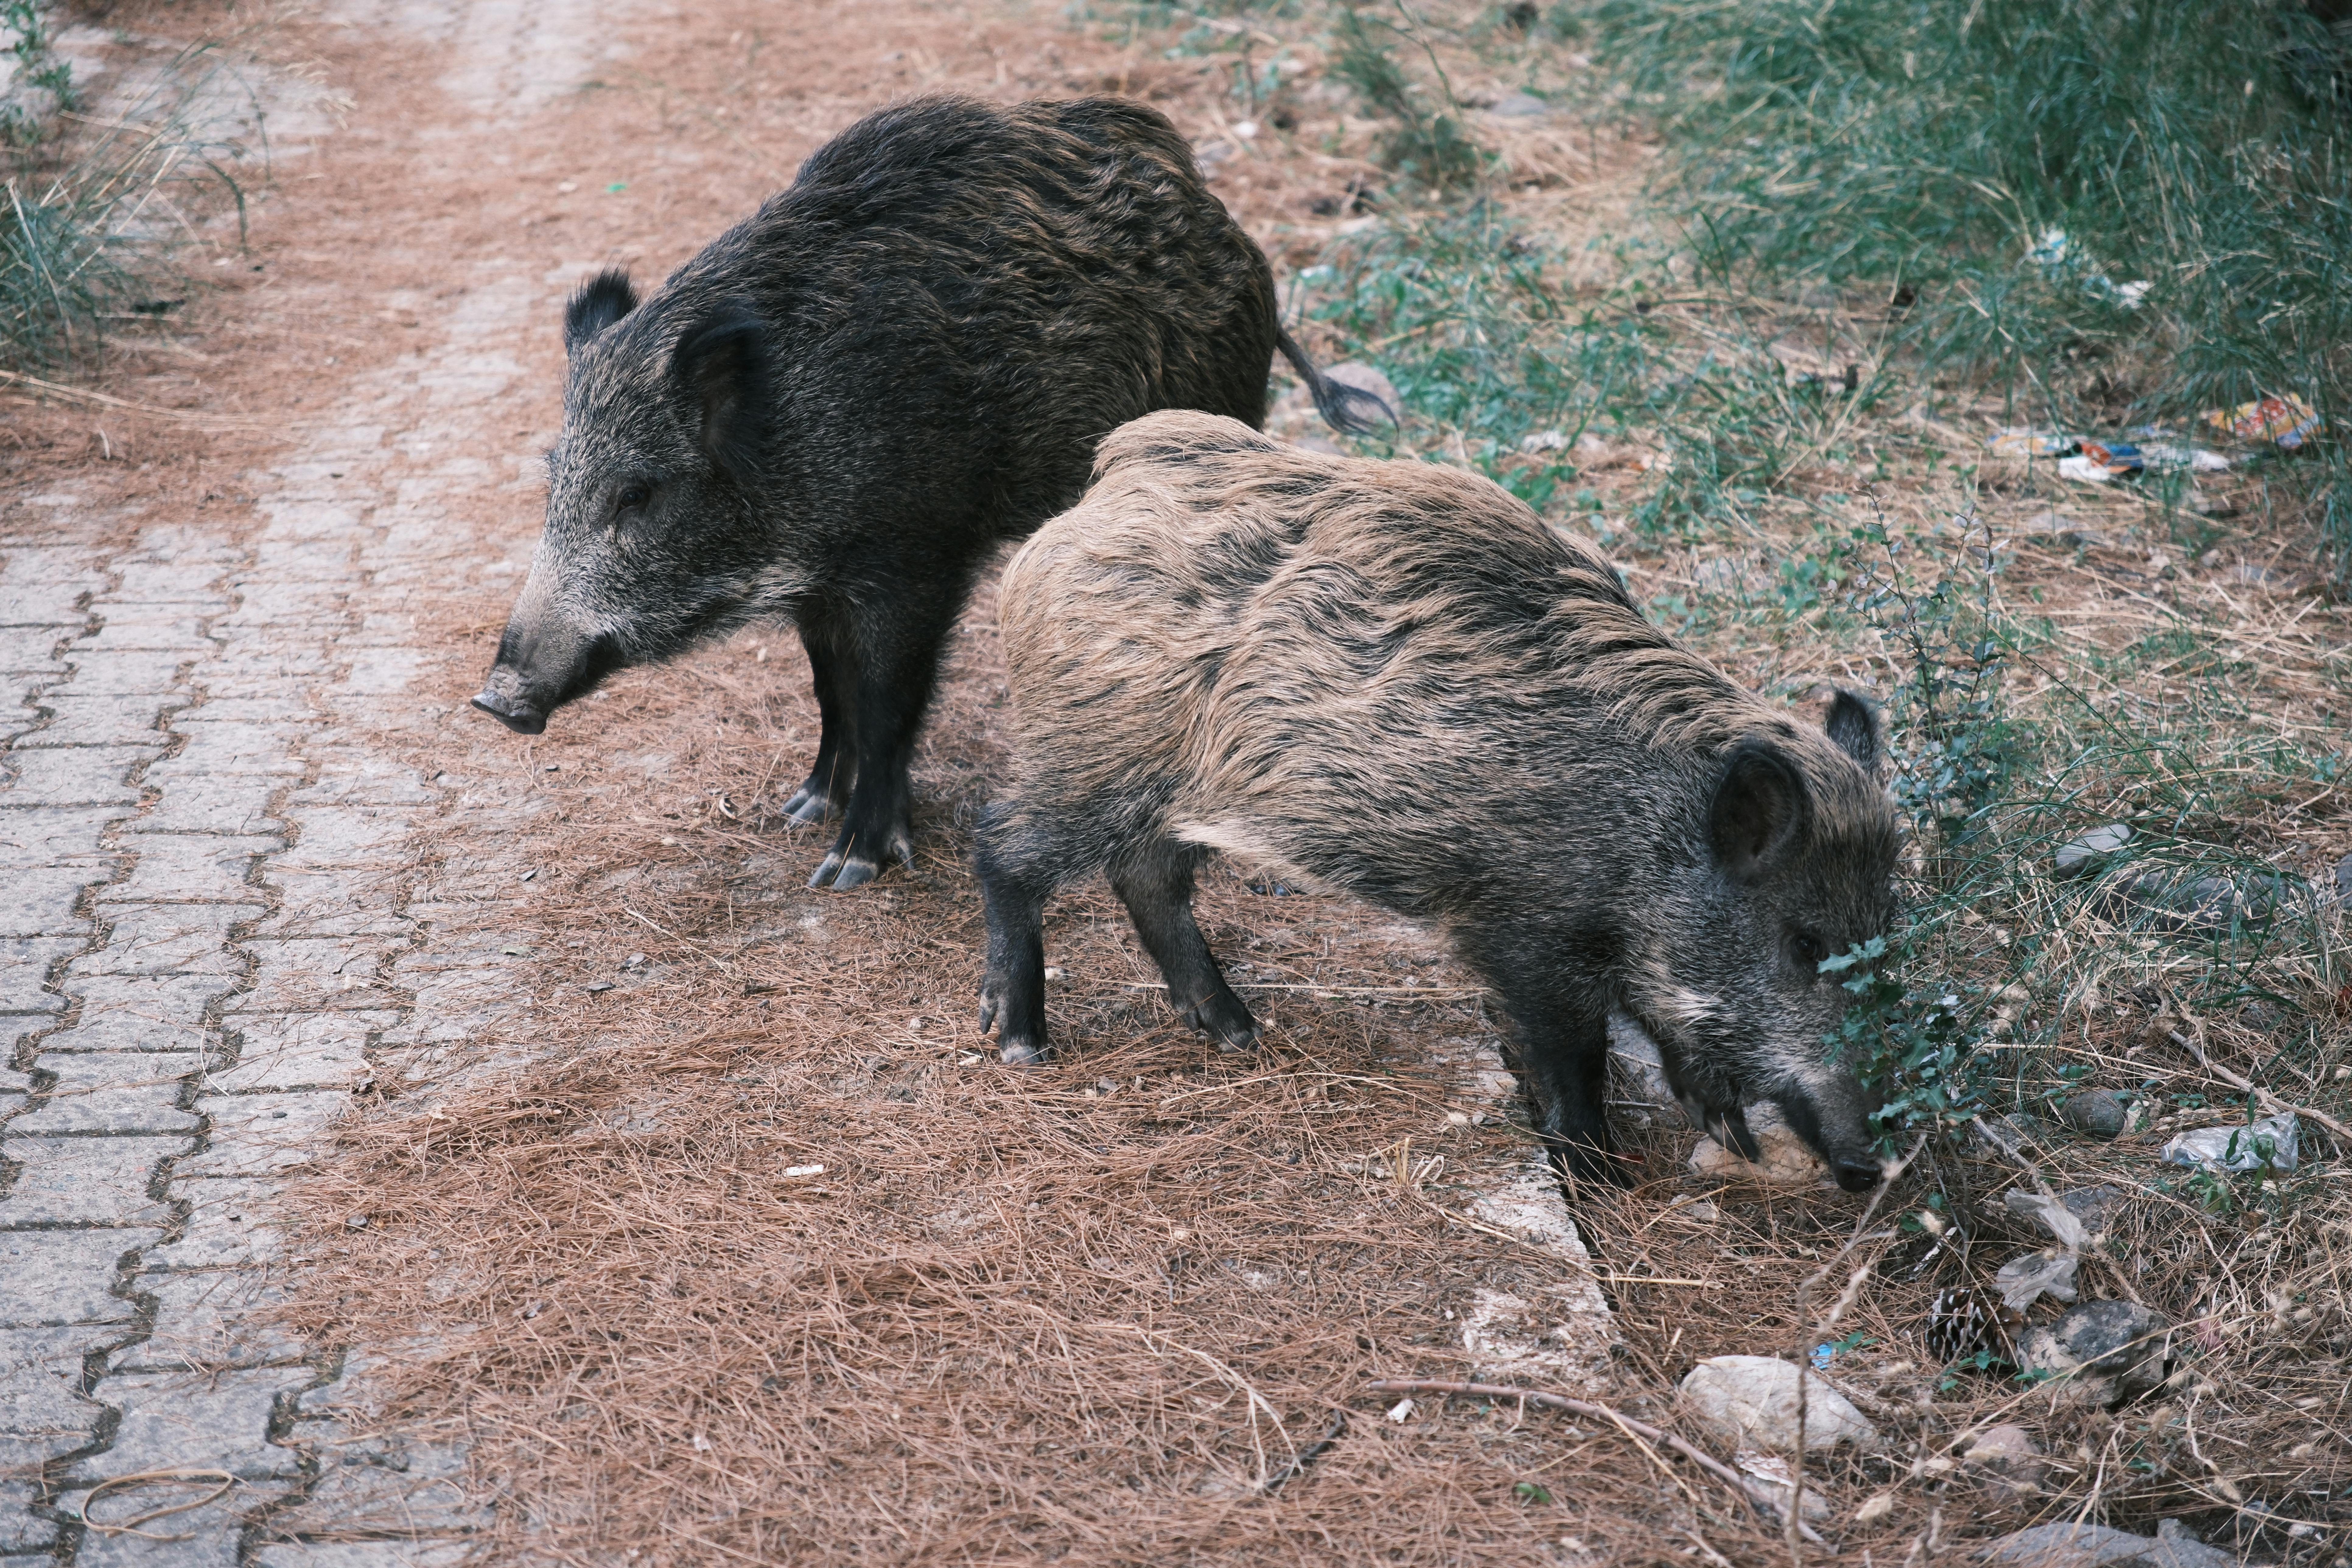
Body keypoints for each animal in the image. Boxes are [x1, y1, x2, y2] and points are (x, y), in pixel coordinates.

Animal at [471, 95, 1384, 888]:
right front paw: (804, 806)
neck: (800, 433)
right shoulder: (819, 580)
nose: (495, 700)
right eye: (556, 476)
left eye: (638, 493)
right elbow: (829, 687)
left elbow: (885, 703)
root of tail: (1235, 236)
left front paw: (849, 867)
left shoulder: (913, 556)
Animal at [976, 411, 1902, 1191]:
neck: (1644, 831)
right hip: (1086, 755)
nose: (1873, 1167)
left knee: (1146, 880)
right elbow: (1576, 1053)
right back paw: (1021, 1042)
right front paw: (1598, 1173)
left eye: (1887, 934)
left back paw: (1238, 1030)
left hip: (1158, 787)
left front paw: (1729, 1134)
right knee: (1006, 846)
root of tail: (1109, 481)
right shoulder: (1521, 928)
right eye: (1806, 943)